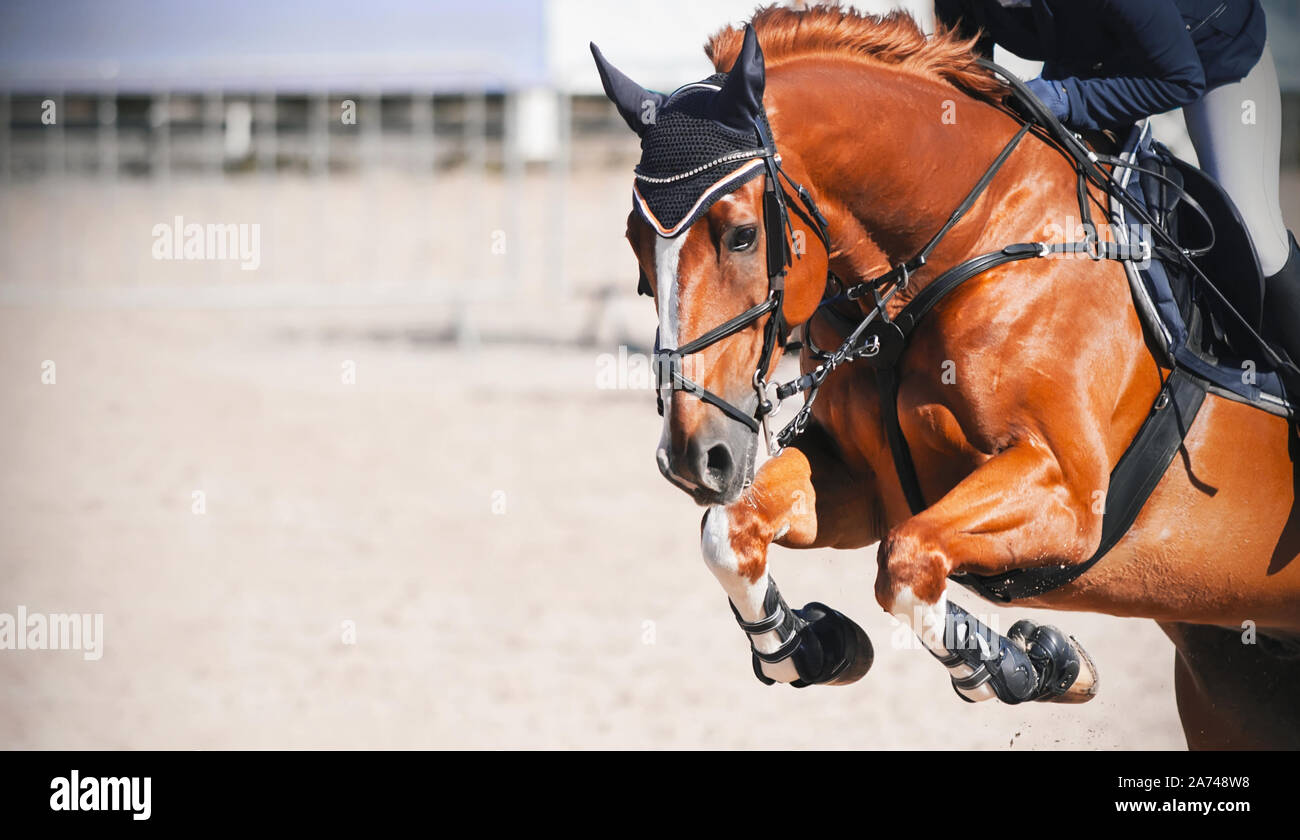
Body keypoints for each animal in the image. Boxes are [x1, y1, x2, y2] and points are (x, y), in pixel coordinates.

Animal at [593, 5, 1300, 748]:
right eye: (636, 244)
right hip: (1230, 682)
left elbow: (906, 561)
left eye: (741, 236)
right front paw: (810, 647)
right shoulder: (862, 481)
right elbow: (730, 532)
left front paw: (1030, 664)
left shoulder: (1069, 495)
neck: (965, 240)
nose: (693, 457)